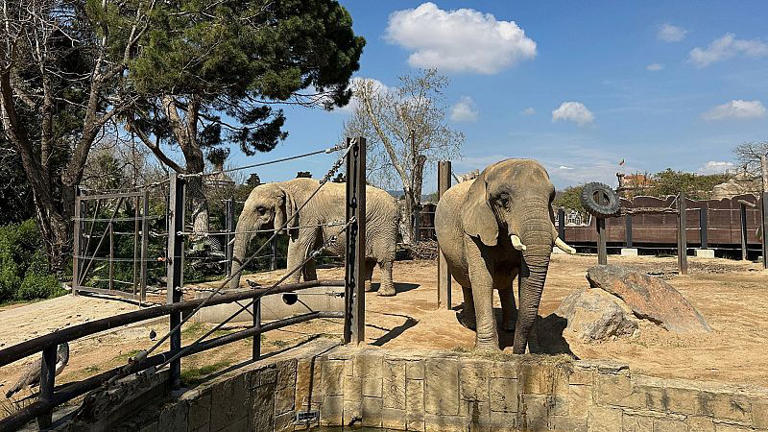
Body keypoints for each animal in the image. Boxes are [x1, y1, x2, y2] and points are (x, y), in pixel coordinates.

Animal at [230, 178, 400, 296]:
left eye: (261, 210)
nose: (236, 290)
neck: (284, 185)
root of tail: (396, 202)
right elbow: (308, 251)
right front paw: (310, 284)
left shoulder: (305, 216)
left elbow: (299, 247)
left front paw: (287, 289)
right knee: (367, 260)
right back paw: (364, 290)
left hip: (383, 227)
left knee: (384, 260)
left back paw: (384, 294)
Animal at [434, 159, 576, 353]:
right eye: (504, 199)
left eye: (551, 198)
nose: (517, 353)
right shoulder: (472, 229)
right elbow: (482, 277)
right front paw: (488, 352)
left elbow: (525, 279)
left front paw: (534, 352)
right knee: (466, 281)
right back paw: (470, 324)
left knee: (505, 283)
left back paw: (509, 326)